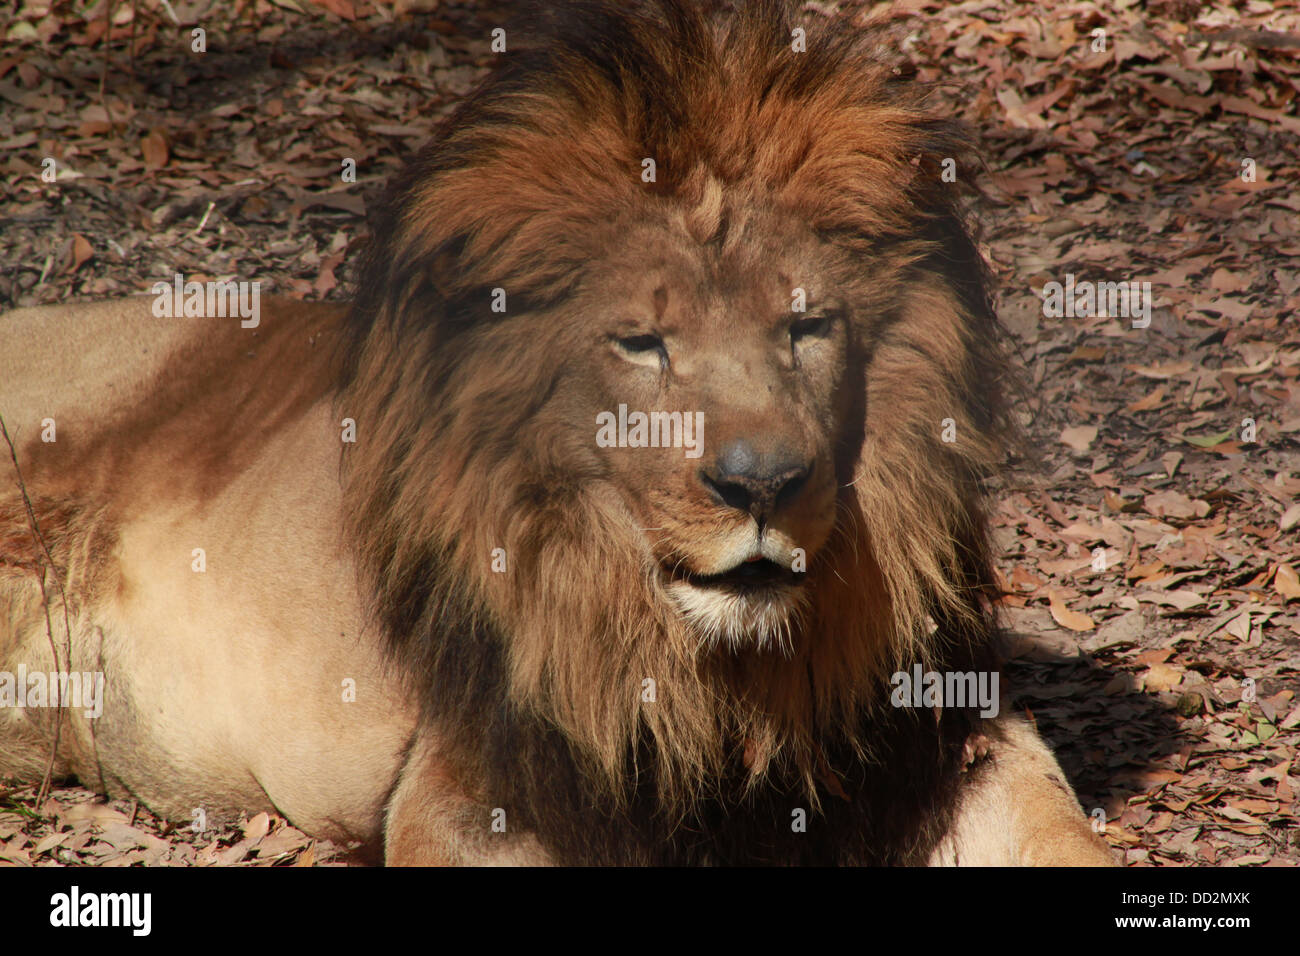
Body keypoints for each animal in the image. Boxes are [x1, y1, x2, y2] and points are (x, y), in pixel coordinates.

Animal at [0, 0, 1113, 865]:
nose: (761, 484)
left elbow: (1065, 830)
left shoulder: (940, 740)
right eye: (642, 342)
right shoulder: (469, 793)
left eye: (805, 325)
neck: (726, 674)